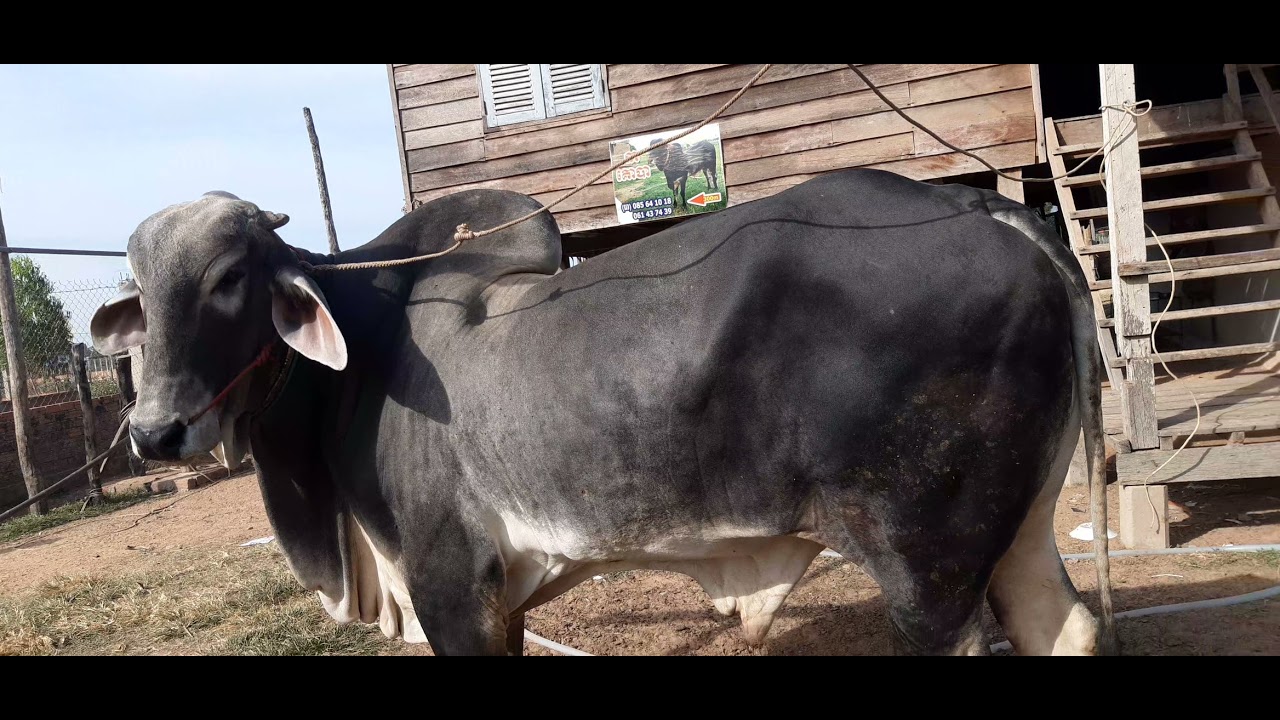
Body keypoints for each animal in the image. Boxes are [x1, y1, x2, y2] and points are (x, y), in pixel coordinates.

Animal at [90, 168, 1115, 656]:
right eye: (139, 293)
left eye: (229, 277)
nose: (155, 431)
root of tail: (988, 212)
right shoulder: (500, 598)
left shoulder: (450, 587)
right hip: (1016, 528)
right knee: (1061, 626)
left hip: (927, 566)